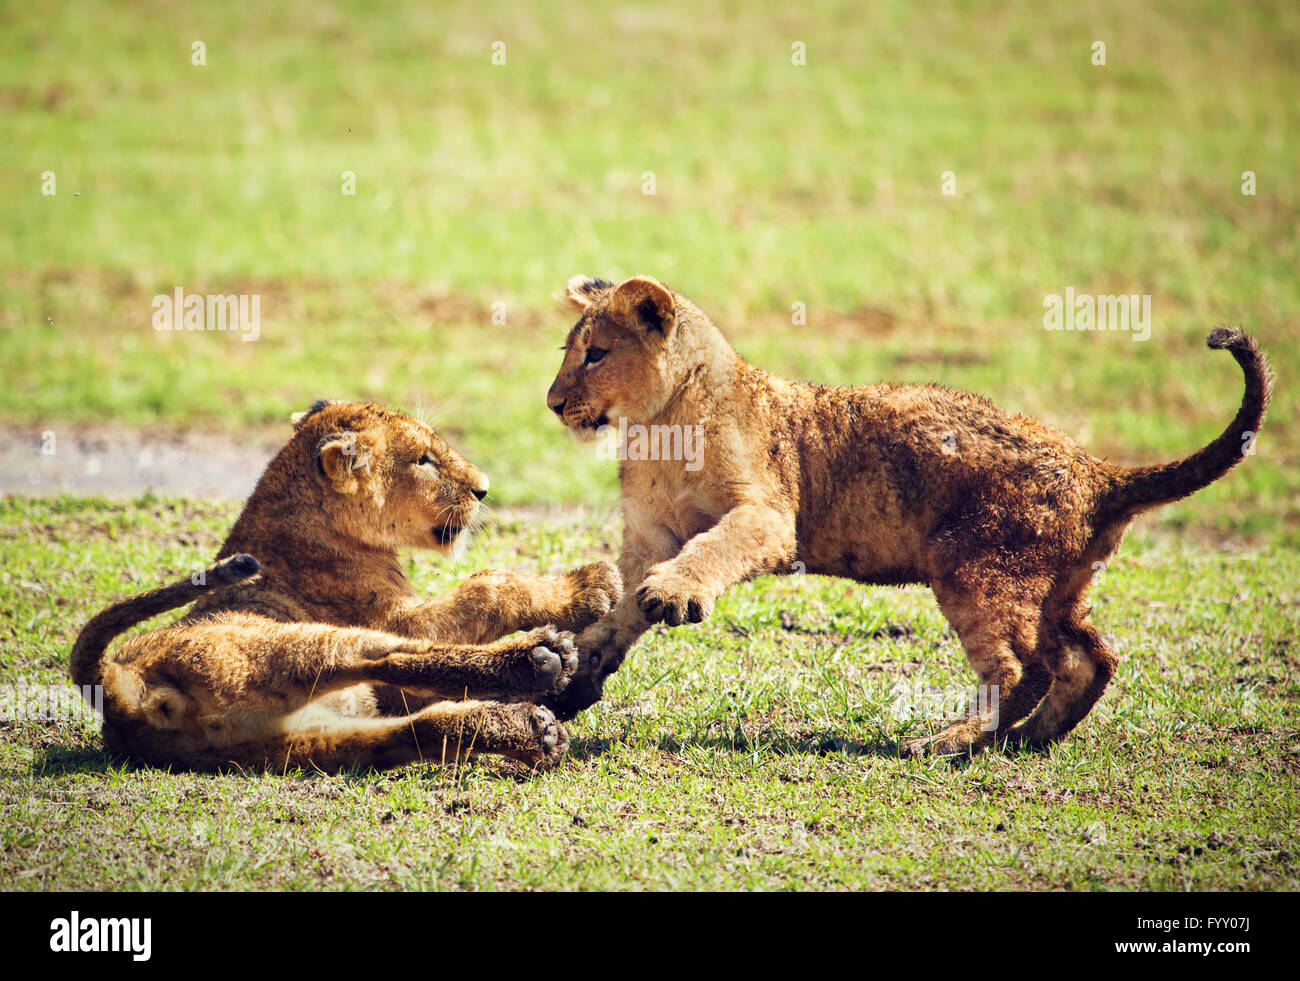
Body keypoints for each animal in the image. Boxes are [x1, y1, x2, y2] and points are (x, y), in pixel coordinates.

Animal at [71, 399, 622, 772]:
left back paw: (534, 730)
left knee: (413, 731)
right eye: (423, 460)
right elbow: (489, 587)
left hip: (305, 740)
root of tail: (121, 696)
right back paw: (541, 662)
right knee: (389, 658)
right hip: (293, 645)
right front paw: (590, 586)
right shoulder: (404, 620)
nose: (483, 488)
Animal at [542, 275, 1271, 757]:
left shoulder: (770, 516)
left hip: (975, 567)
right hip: (1057, 587)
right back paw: (1027, 738)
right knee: (1093, 657)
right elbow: (619, 608)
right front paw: (583, 665)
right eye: (568, 351)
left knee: (1023, 668)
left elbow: (708, 551)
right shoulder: (650, 533)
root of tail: (1098, 470)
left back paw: (950, 740)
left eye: (596, 354)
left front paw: (675, 594)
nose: (551, 403)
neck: (655, 429)